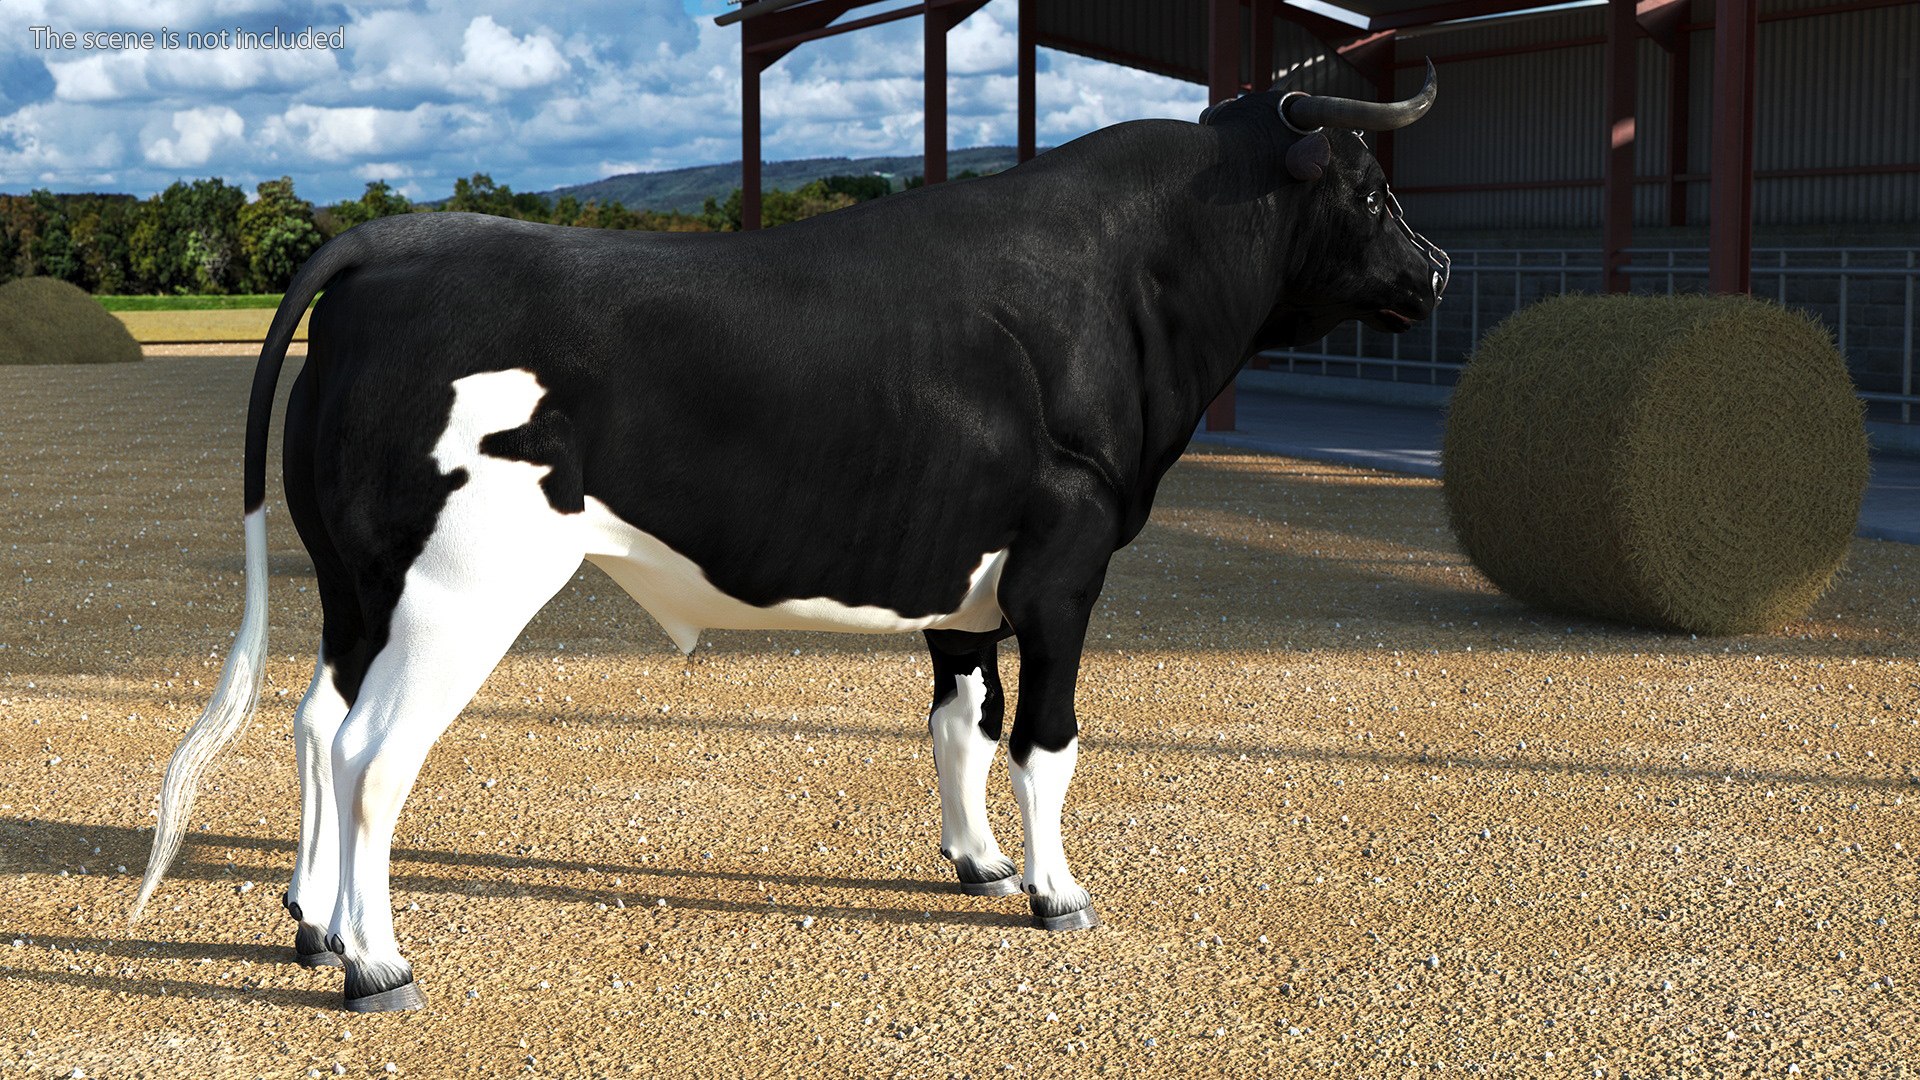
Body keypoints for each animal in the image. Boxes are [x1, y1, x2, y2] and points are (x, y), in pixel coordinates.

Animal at [130, 68, 1448, 1012]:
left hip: (357, 584)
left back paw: (311, 927)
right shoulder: (1064, 568)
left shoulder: (963, 584)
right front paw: (1058, 893)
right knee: (374, 754)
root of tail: (393, 240)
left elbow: (961, 727)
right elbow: (1048, 740)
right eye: (1372, 191)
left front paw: (980, 864)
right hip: (462, 588)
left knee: (315, 722)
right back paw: (376, 965)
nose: (1435, 270)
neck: (1121, 293)